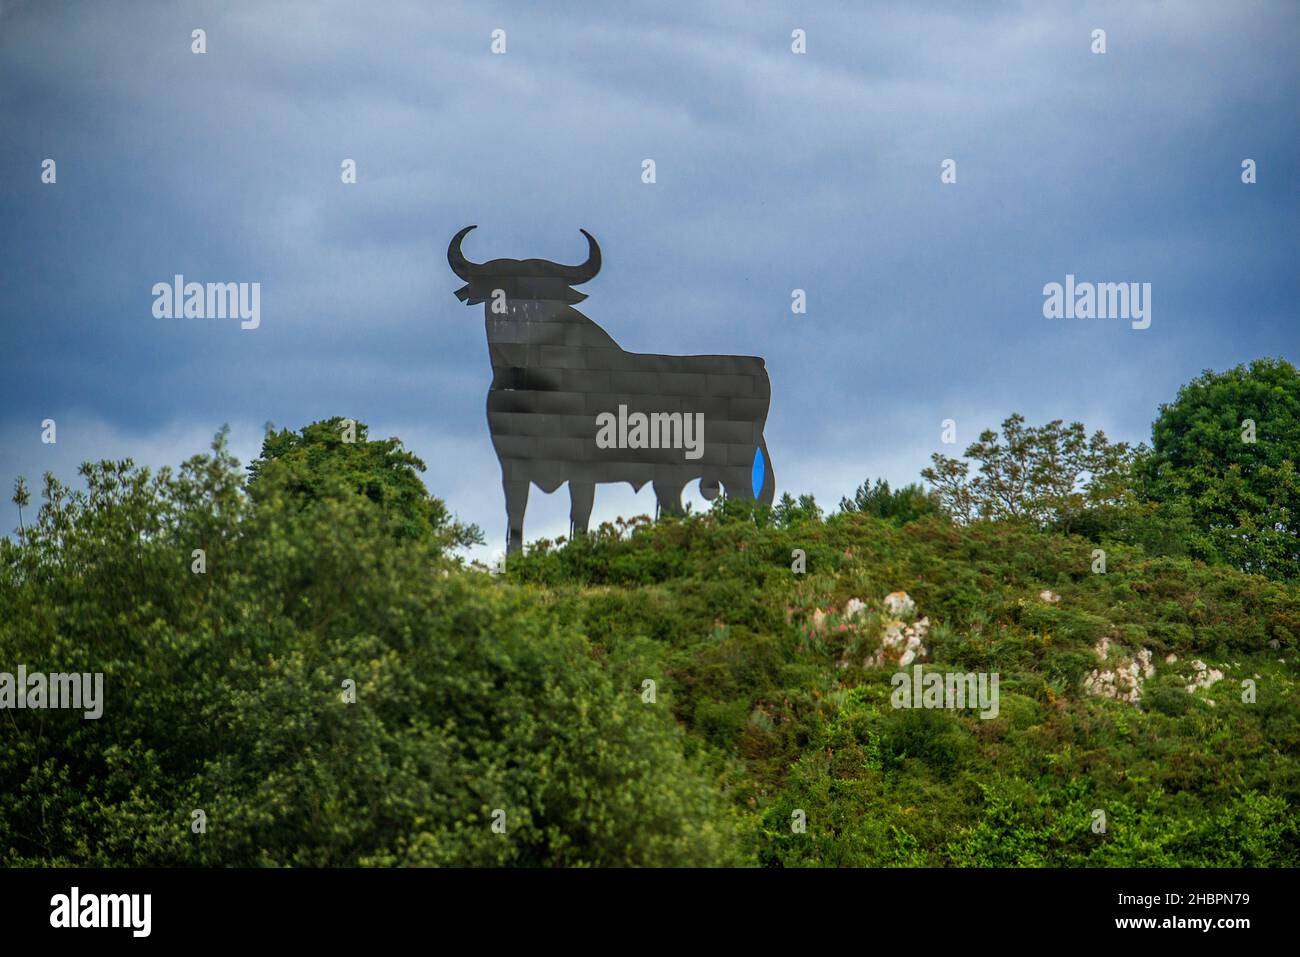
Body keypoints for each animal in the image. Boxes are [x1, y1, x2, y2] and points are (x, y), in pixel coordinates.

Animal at [448, 226, 775, 553]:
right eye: (496, 294)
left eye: (542, 297)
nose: (514, 331)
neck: (534, 389)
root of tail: (758, 364)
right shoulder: (512, 465)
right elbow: (516, 516)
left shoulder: (583, 468)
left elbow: (580, 514)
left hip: (735, 469)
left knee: (747, 505)